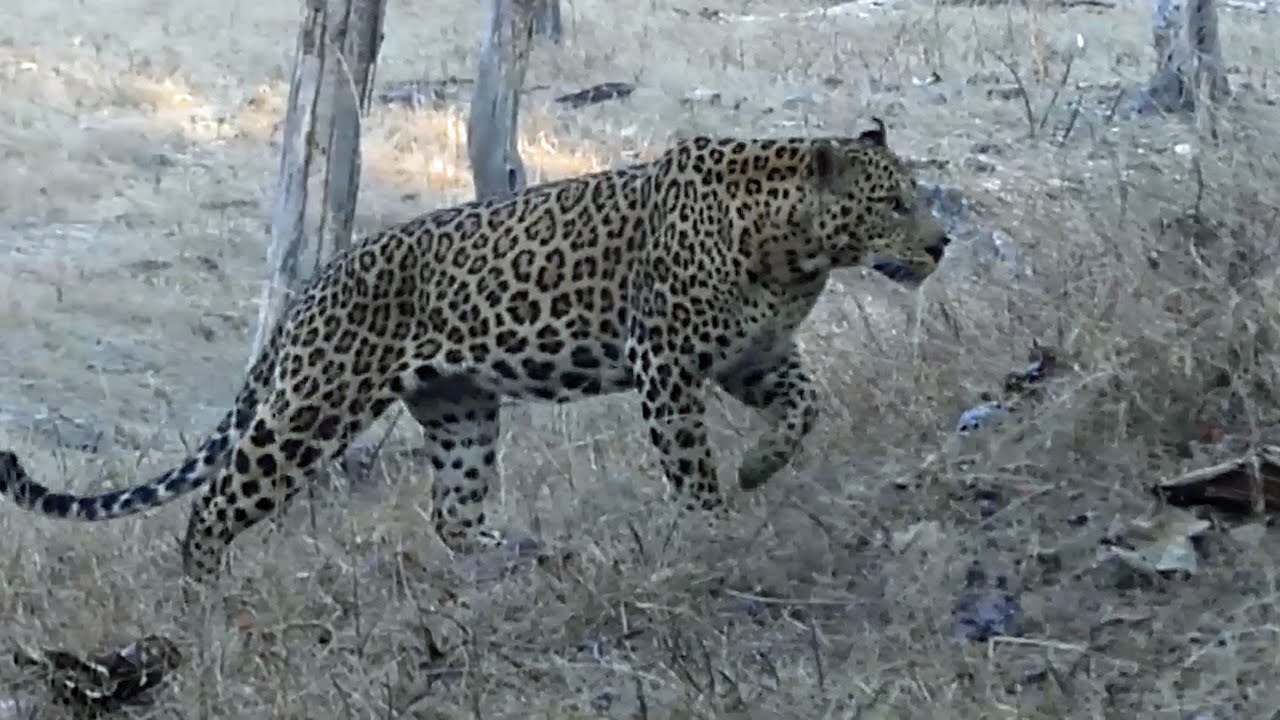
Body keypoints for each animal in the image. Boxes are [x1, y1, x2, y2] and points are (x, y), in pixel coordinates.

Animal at [0, 119, 952, 587]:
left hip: (460, 410)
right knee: (216, 502)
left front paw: (759, 468)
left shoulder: (753, 359)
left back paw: (522, 549)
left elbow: (806, 405)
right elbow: (688, 459)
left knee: (452, 513)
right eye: (895, 203)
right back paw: (202, 602)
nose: (941, 243)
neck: (797, 251)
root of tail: (320, 277)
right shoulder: (668, 363)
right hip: (313, 406)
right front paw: (716, 525)